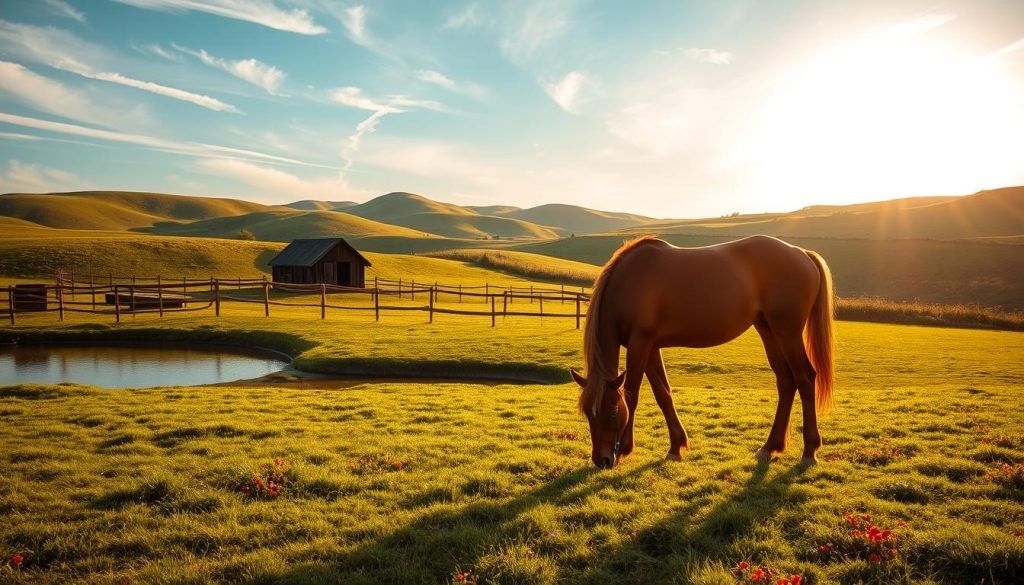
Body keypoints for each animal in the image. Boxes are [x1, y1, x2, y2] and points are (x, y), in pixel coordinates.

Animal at [570, 235, 834, 469]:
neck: (628, 282)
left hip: (787, 332)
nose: (603, 460)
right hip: (768, 329)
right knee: (786, 381)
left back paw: (809, 452)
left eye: (613, 411)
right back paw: (769, 447)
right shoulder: (651, 346)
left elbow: (632, 395)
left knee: (805, 378)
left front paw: (626, 448)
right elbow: (663, 394)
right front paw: (676, 447)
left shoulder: (640, 343)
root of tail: (802, 253)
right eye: (587, 413)